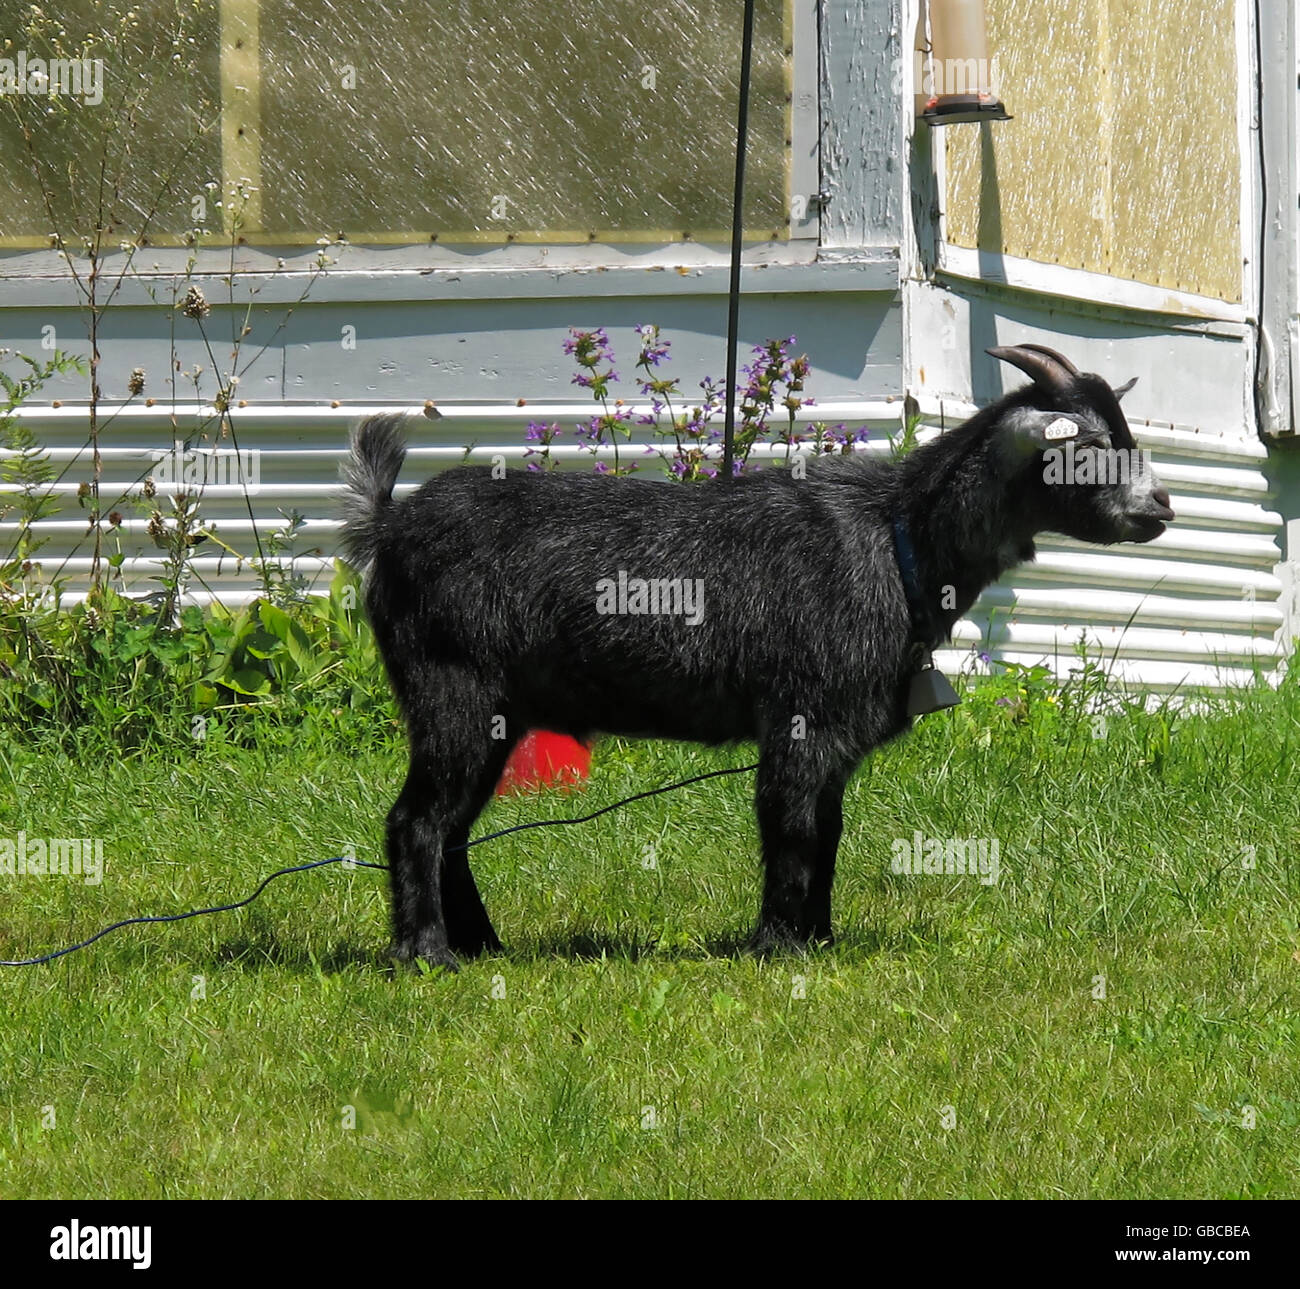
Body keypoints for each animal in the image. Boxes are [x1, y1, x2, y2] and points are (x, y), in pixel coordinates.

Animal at [340, 344, 1174, 969]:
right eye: (1089, 445)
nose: (1162, 506)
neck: (896, 534)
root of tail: (387, 527)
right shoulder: (803, 717)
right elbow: (792, 825)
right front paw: (778, 945)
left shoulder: (835, 733)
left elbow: (828, 831)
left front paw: (822, 938)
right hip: (453, 689)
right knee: (417, 820)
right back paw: (425, 954)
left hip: (498, 714)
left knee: (452, 827)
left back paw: (483, 945)